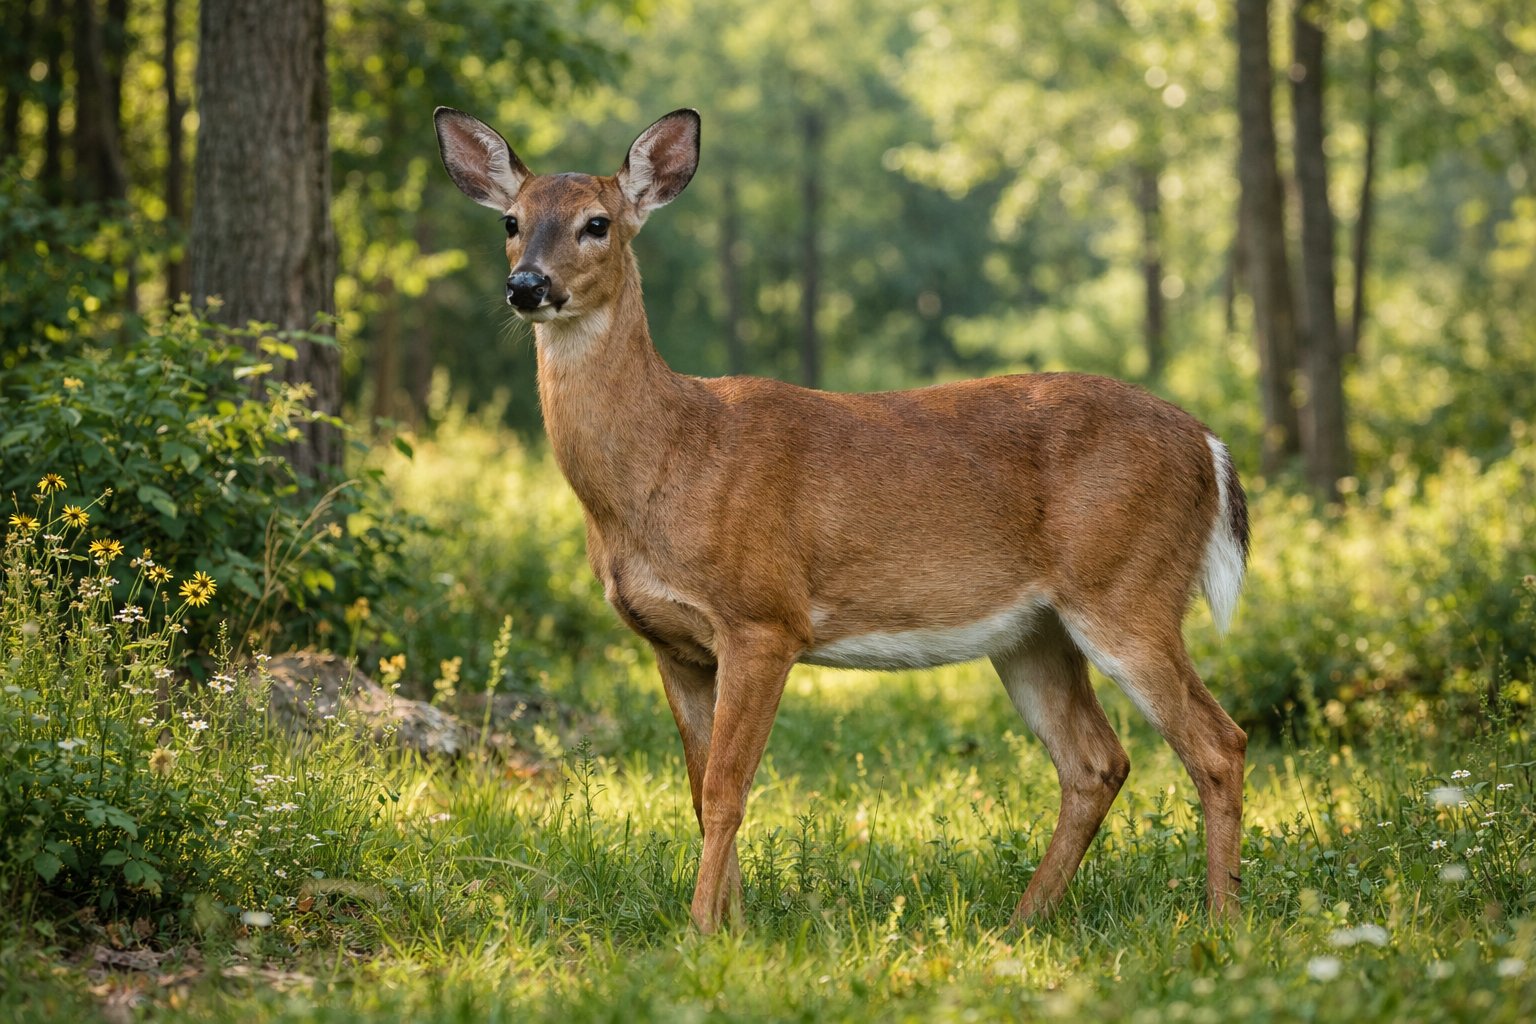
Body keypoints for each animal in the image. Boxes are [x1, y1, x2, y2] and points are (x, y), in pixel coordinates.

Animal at [433, 106, 1251, 932]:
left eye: (596, 224)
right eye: (510, 221)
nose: (527, 286)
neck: (667, 461)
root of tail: (1208, 444)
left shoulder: (764, 617)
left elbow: (726, 792)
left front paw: (700, 931)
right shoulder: (673, 643)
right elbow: (699, 792)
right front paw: (734, 925)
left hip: (1128, 588)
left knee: (1220, 744)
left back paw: (1219, 923)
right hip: (1034, 632)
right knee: (1096, 761)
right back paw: (1024, 921)